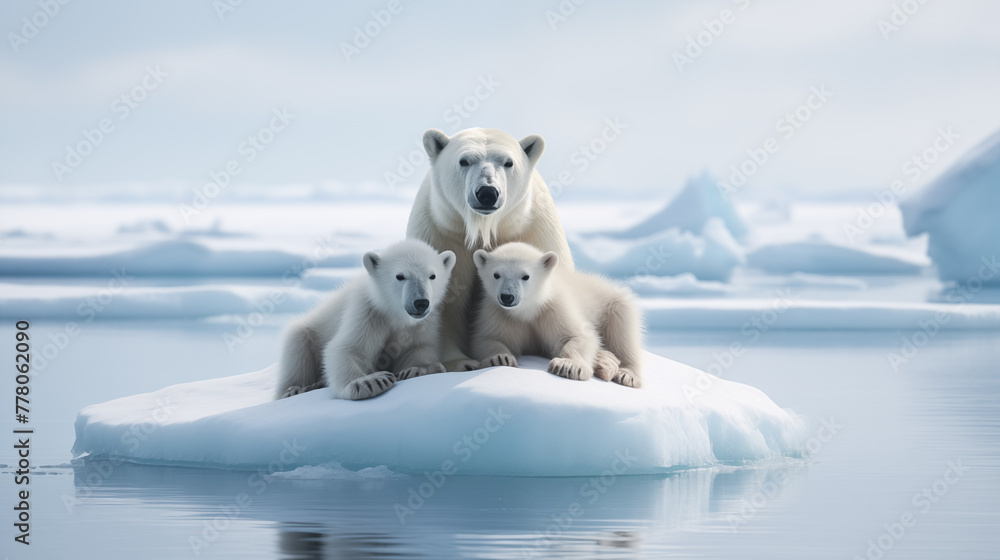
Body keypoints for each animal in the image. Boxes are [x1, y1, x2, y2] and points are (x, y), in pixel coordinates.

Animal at [275, 239, 456, 400]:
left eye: (432, 275)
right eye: (400, 276)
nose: (421, 303)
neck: (393, 313)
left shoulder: (423, 324)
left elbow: (419, 346)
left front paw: (417, 369)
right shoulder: (367, 313)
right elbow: (347, 348)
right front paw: (368, 382)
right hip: (306, 334)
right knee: (298, 357)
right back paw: (296, 389)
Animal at [407, 127, 574, 372]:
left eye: (508, 162)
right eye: (464, 160)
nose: (487, 192)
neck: (484, 229)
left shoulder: (534, 232)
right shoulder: (441, 235)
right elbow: (445, 302)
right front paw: (461, 362)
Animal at [469, 242, 644, 388]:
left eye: (525, 276)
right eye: (496, 274)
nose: (507, 297)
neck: (529, 309)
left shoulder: (554, 308)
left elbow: (579, 336)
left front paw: (567, 366)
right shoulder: (500, 313)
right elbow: (486, 339)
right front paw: (500, 358)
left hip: (614, 306)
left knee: (624, 338)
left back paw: (627, 375)